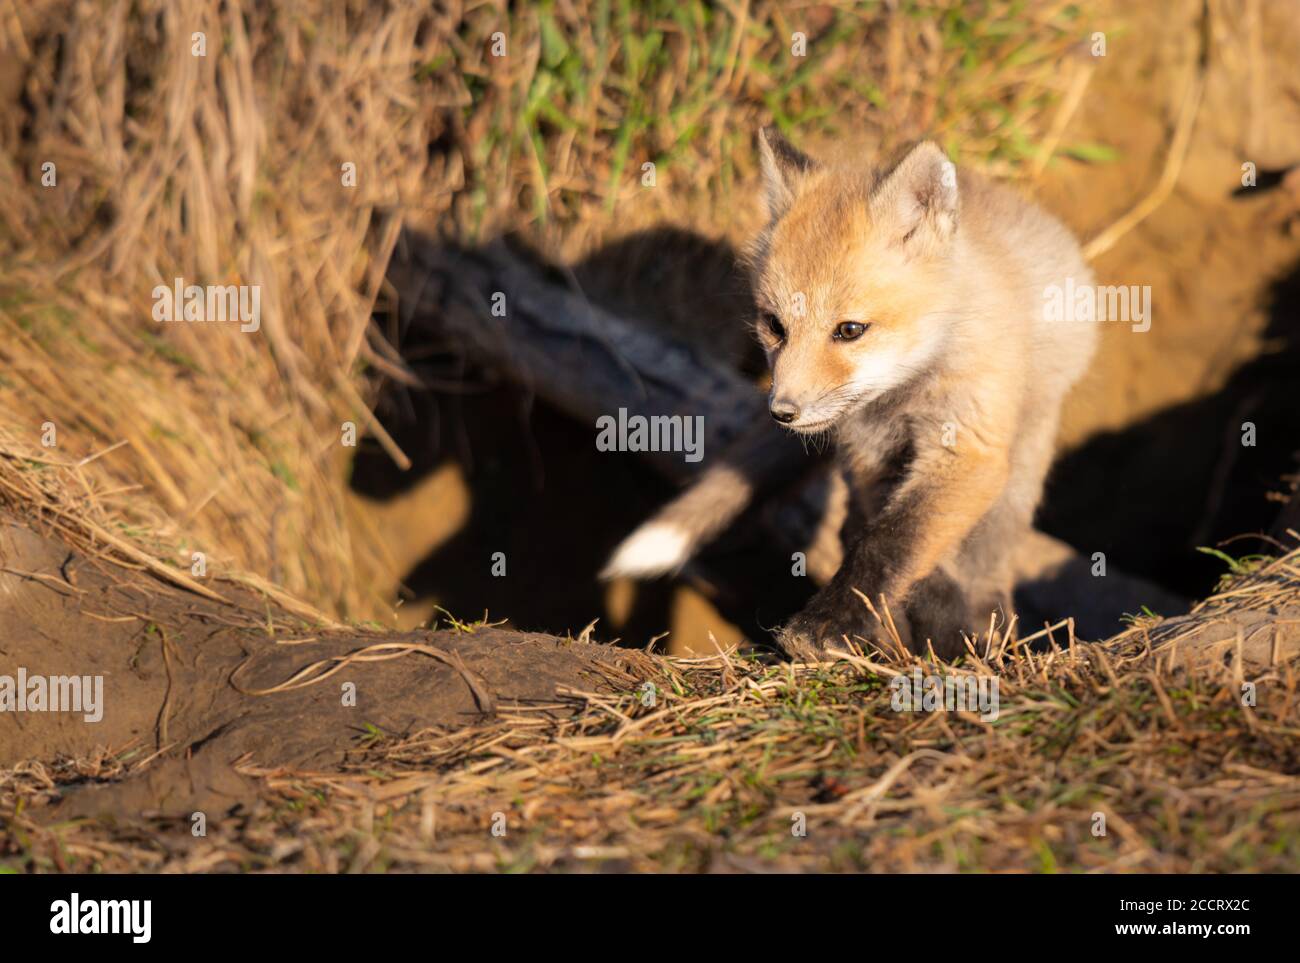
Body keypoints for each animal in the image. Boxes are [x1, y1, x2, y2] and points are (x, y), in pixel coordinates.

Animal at [602, 127, 1098, 660]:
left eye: (850, 330)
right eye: (775, 326)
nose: (781, 412)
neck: (906, 392)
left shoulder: (968, 446)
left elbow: (895, 542)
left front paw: (837, 625)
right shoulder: (871, 453)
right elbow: (887, 544)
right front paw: (908, 626)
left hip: (1024, 458)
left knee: (991, 550)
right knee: (851, 527)